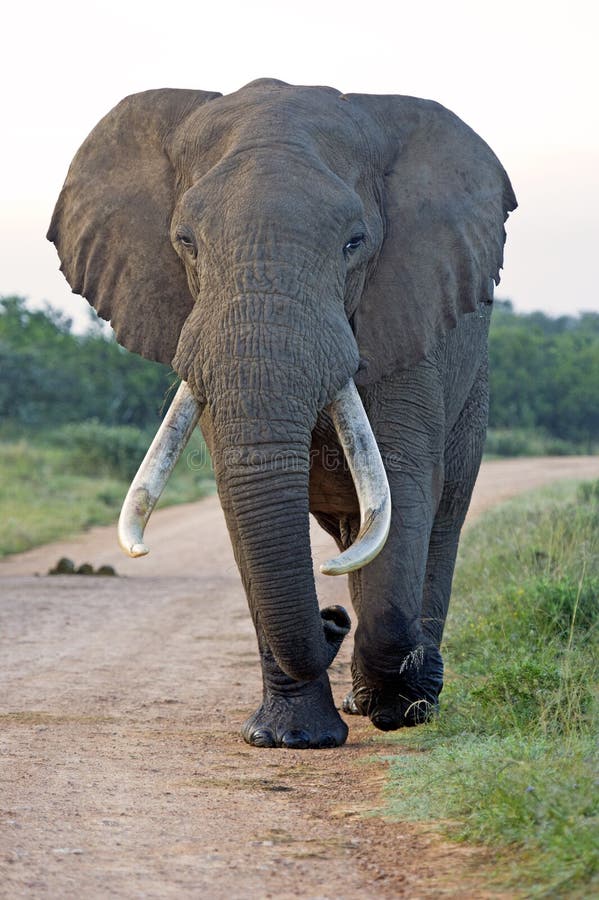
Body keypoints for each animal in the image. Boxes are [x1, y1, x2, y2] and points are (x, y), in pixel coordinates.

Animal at [48, 78, 516, 749]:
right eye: (185, 242)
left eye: (354, 243)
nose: (329, 620)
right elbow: (240, 500)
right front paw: (288, 739)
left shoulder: (409, 314)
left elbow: (403, 483)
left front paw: (397, 707)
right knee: (355, 532)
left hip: (473, 383)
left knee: (441, 514)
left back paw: (407, 699)